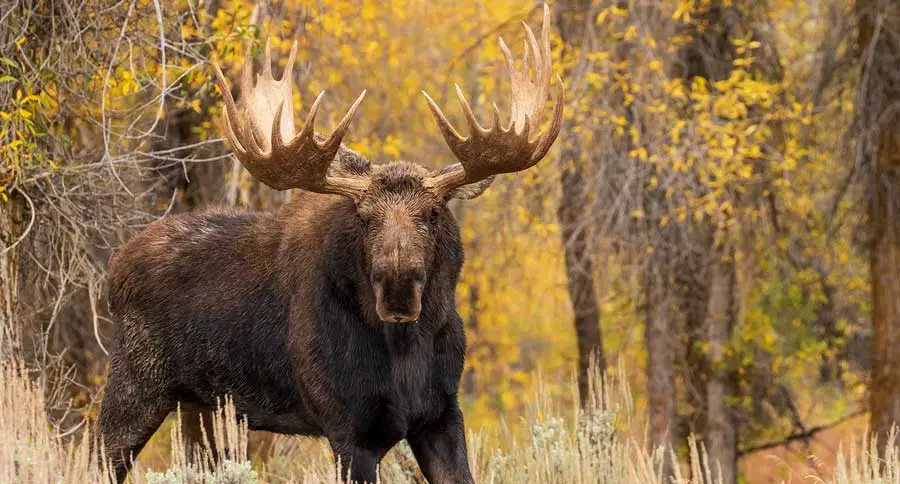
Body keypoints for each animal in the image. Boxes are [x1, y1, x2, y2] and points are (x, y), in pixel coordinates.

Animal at [99, 5, 562, 483]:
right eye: (364, 217)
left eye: (433, 214)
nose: (398, 287)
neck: (405, 354)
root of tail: (114, 270)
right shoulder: (349, 428)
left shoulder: (442, 414)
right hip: (135, 384)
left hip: (203, 408)